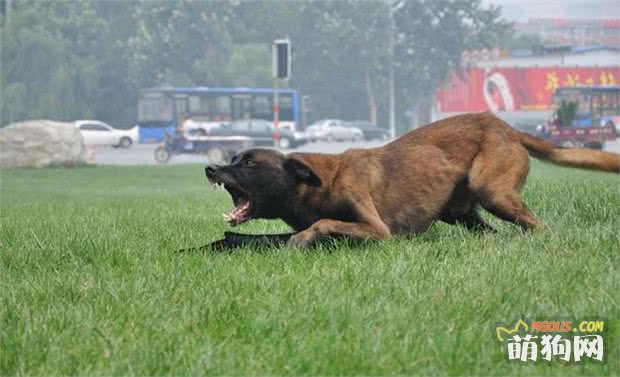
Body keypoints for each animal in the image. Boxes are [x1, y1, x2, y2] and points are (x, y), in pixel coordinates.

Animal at [201, 111, 616, 250]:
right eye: (233, 158)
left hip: (493, 191)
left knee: (540, 228)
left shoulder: (378, 229)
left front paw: (303, 239)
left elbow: (324, 223)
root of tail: (506, 127)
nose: (211, 169)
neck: (318, 182)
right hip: (461, 211)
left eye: (249, 162)